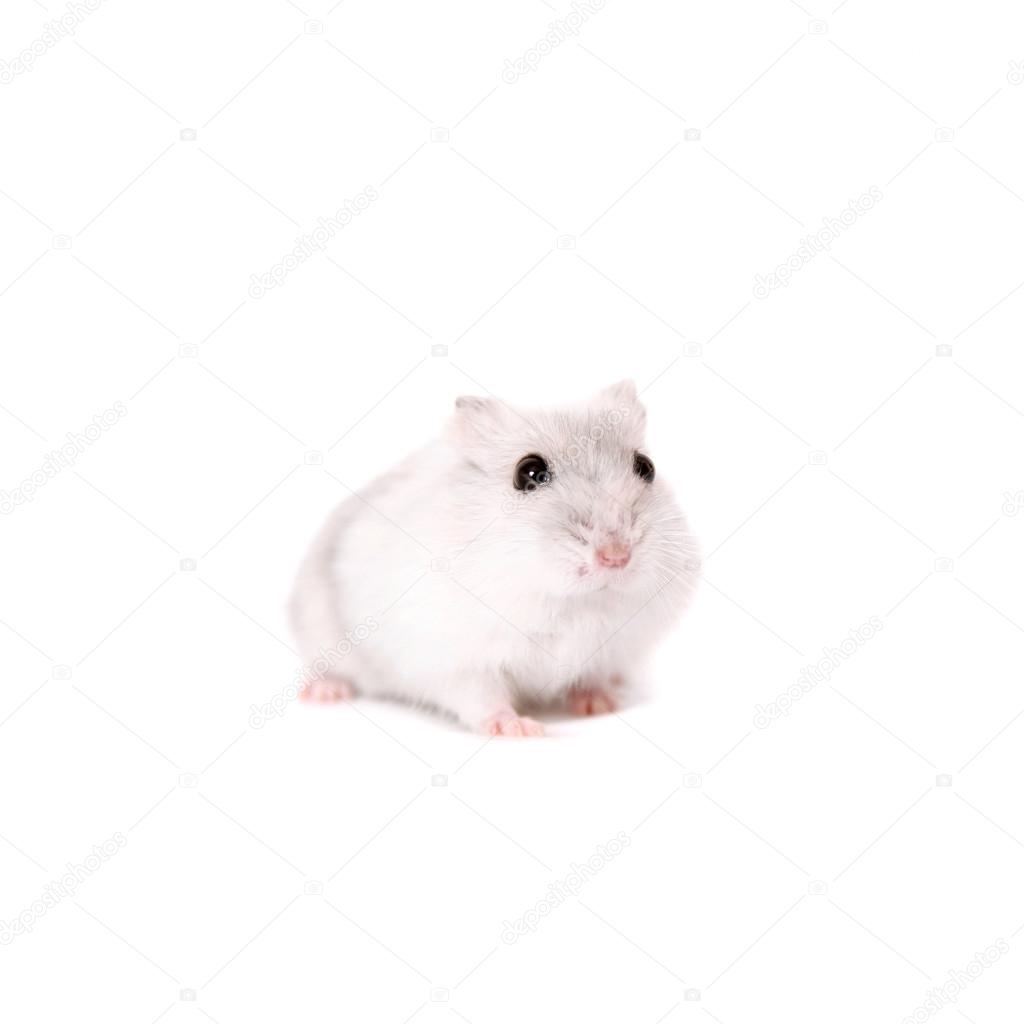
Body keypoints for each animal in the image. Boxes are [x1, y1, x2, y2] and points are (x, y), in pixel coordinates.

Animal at [289, 379, 698, 736]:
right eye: (528, 473)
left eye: (646, 467)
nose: (616, 557)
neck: (570, 600)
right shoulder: (457, 661)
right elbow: (481, 698)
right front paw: (520, 729)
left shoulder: (611, 650)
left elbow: (592, 679)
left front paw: (601, 705)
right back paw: (324, 693)